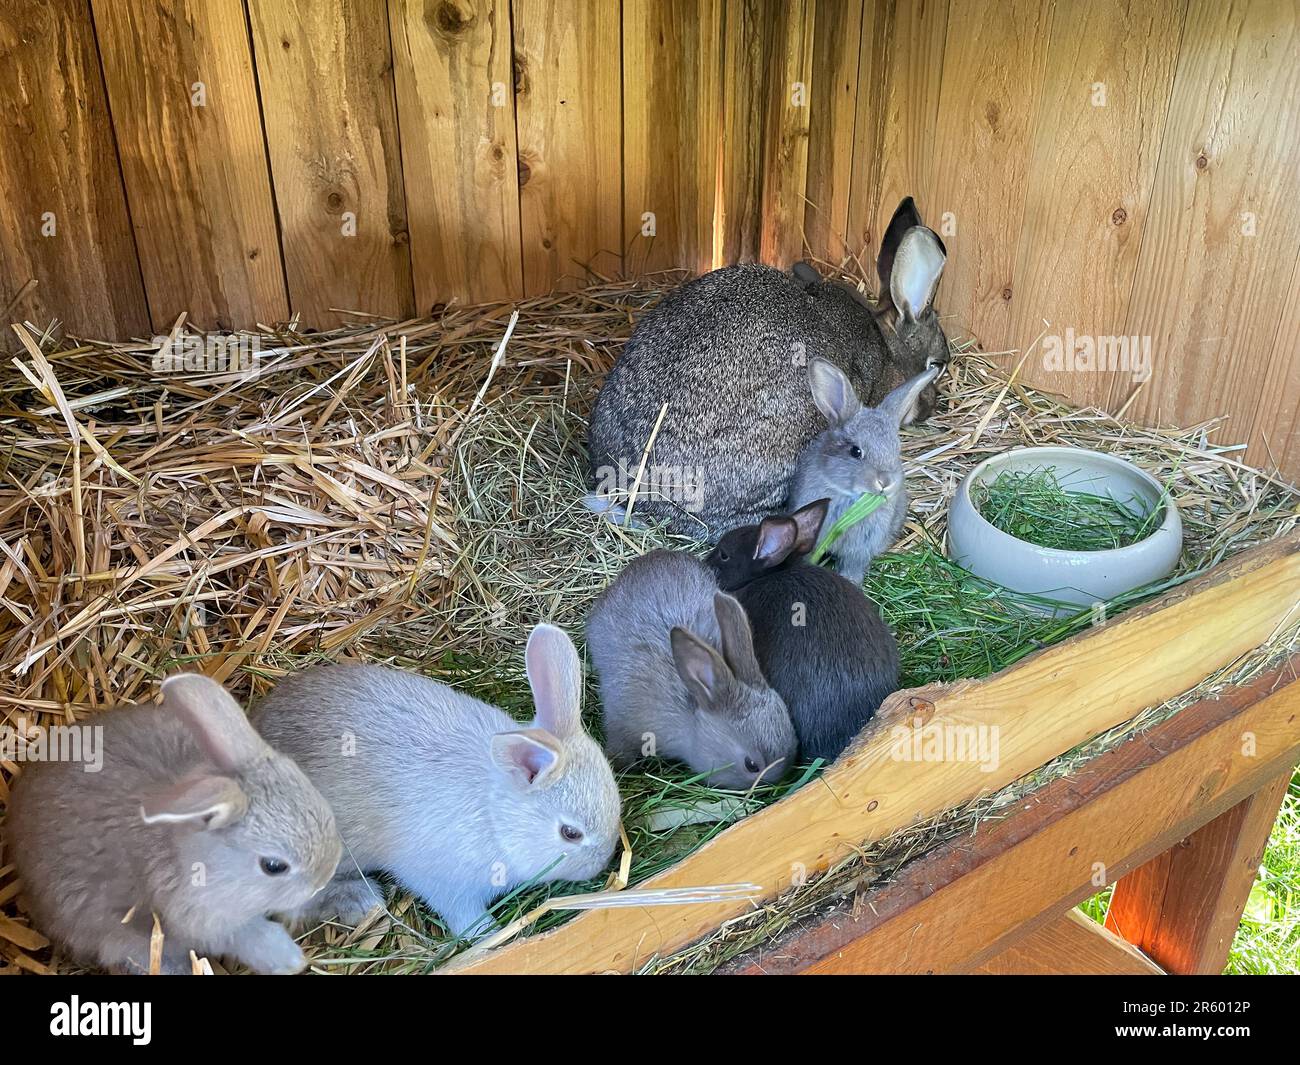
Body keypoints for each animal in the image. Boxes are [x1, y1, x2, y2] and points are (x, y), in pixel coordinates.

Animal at [252, 624, 622, 940]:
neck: (495, 815)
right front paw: (486, 934)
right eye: (570, 833)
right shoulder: (447, 884)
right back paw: (363, 899)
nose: (601, 864)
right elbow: (461, 913)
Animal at [788, 361, 940, 585]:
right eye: (856, 451)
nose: (884, 482)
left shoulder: (859, 550)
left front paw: (851, 583)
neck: (850, 498)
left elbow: (853, 567)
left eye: (897, 450)